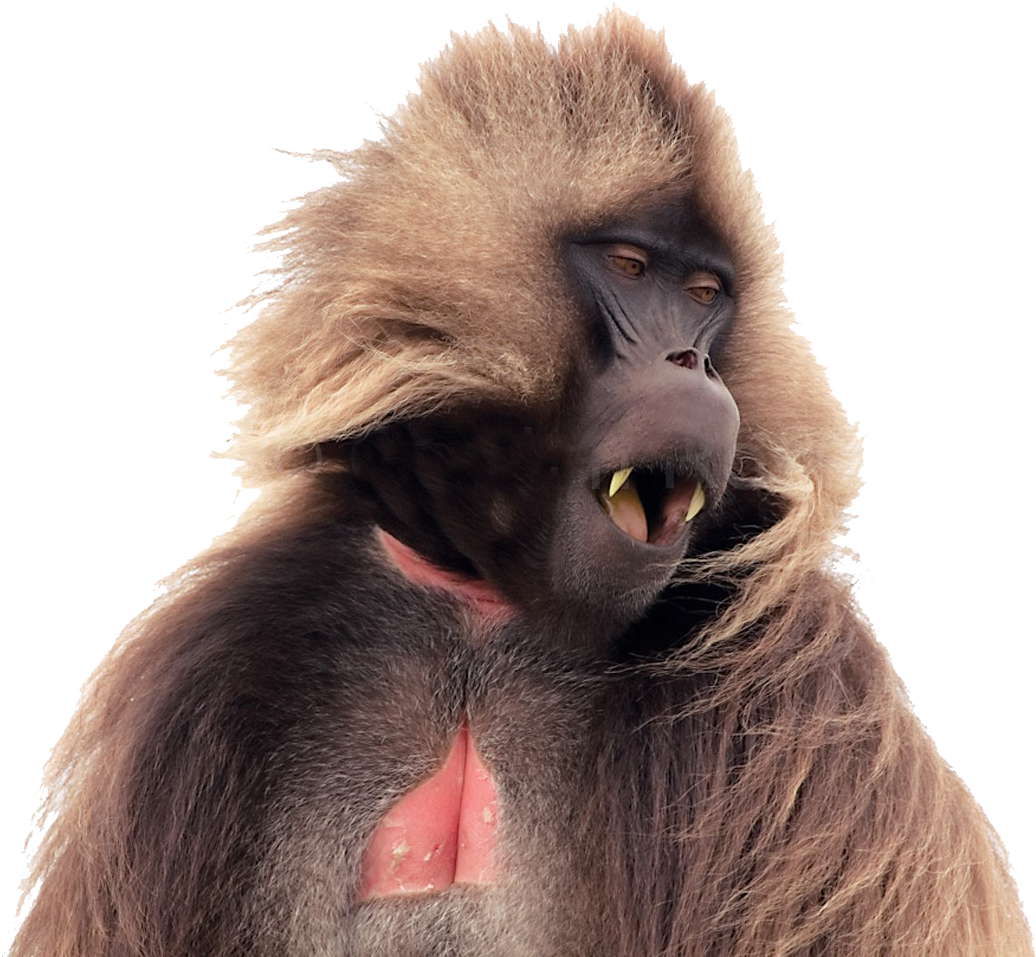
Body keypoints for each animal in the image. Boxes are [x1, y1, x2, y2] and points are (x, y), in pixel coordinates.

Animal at [11, 11, 1032, 957]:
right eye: (630, 269)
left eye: (705, 296)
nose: (692, 366)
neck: (489, 603)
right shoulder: (207, 673)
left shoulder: (803, 692)